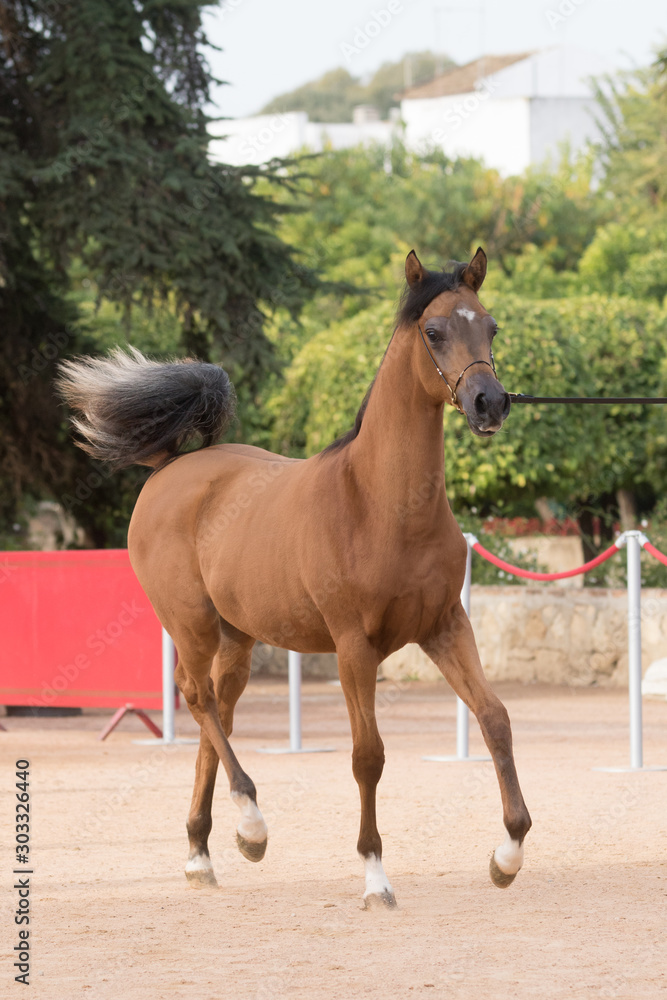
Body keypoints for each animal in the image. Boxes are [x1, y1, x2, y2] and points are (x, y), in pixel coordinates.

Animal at [57, 247, 531, 909]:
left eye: (491, 326)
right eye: (434, 331)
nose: (490, 402)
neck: (380, 503)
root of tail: (172, 467)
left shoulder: (444, 627)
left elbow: (495, 721)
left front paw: (507, 856)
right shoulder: (354, 646)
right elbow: (367, 756)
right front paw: (375, 878)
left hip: (237, 638)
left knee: (218, 715)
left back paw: (204, 851)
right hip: (192, 626)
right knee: (196, 698)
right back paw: (251, 825)